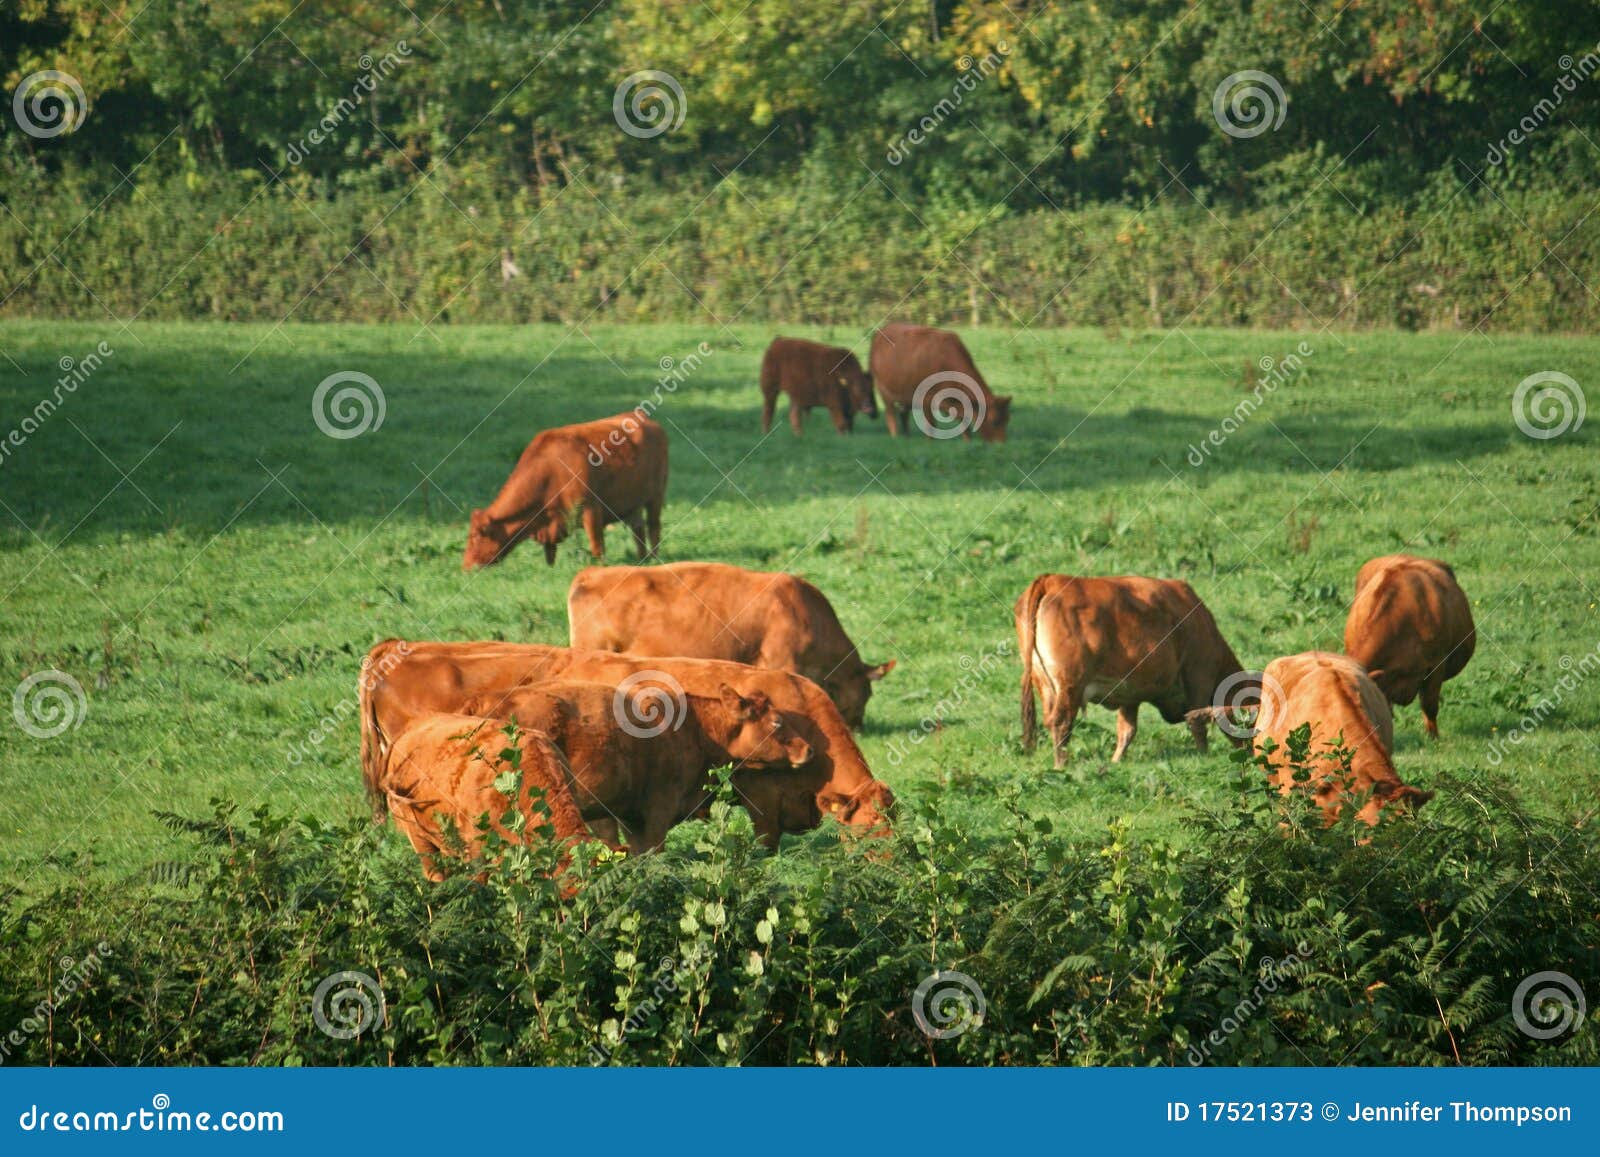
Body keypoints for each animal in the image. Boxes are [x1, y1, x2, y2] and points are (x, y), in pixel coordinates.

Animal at [463, 411, 667, 570]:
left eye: (475, 536)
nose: (465, 567)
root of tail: (648, 421)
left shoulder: (591, 509)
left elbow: (597, 546)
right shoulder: (548, 525)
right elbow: (550, 553)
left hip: (656, 497)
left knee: (654, 527)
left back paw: (654, 560)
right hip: (634, 504)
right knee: (638, 529)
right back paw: (642, 560)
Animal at [869, 322, 1011, 443]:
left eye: (1007, 419)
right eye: (994, 421)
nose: (1001, 444)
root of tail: (882, 330)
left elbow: (964, 422)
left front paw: (967, 442)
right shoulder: (926, 398)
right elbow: (931, 424)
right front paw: (929, 443)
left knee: (903, 414)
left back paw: (906, 437)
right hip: (883, 389)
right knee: (891, 415)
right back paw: (895, 437)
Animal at [1015, 575, 1251, 767]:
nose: (1251, 751)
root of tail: (1051, 580)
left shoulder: (1130, 696)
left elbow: (1126, 731)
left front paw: (1116, 761)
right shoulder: (1198, 675)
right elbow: (1198, 721)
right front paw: (1204, 756)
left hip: (1045, 685)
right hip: (1070, 685)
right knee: (1061, 721)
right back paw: (1061, 764)